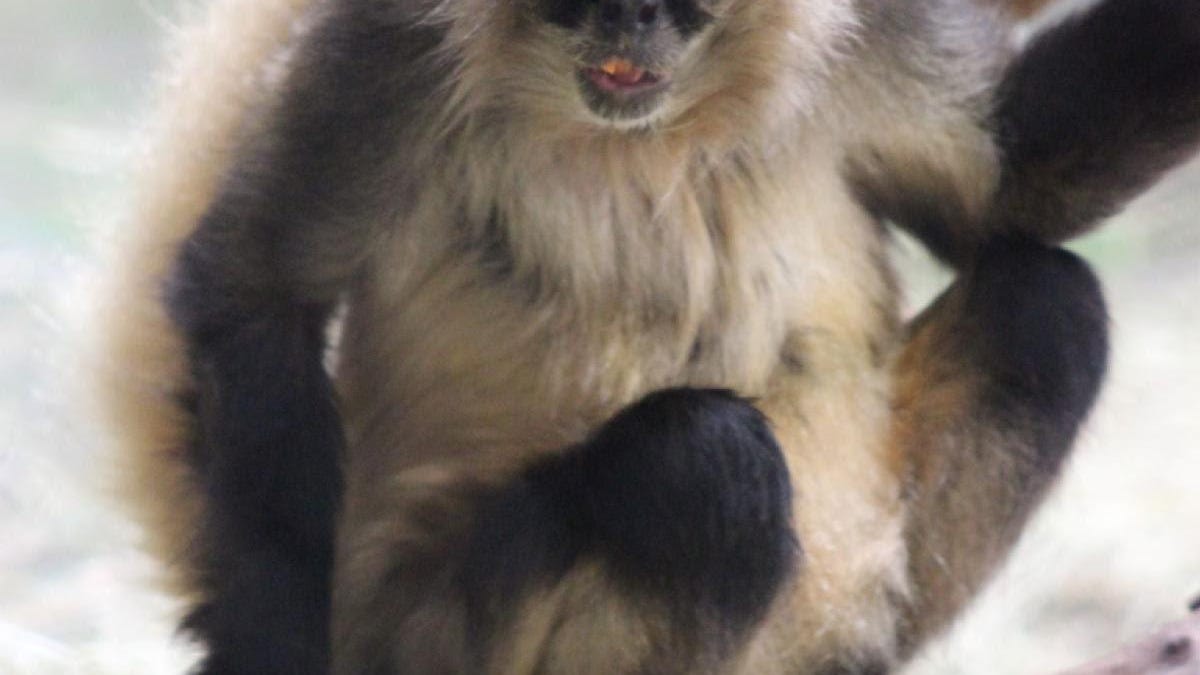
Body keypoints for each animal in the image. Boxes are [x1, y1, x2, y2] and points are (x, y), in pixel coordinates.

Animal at [94, 0, 1200, 673]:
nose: (627, 17)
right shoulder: (385, 50)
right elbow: (252, 296)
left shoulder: (877, 27)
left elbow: (1006, 186)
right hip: (437, 629)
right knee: (698, 465)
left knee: (1043, 306)